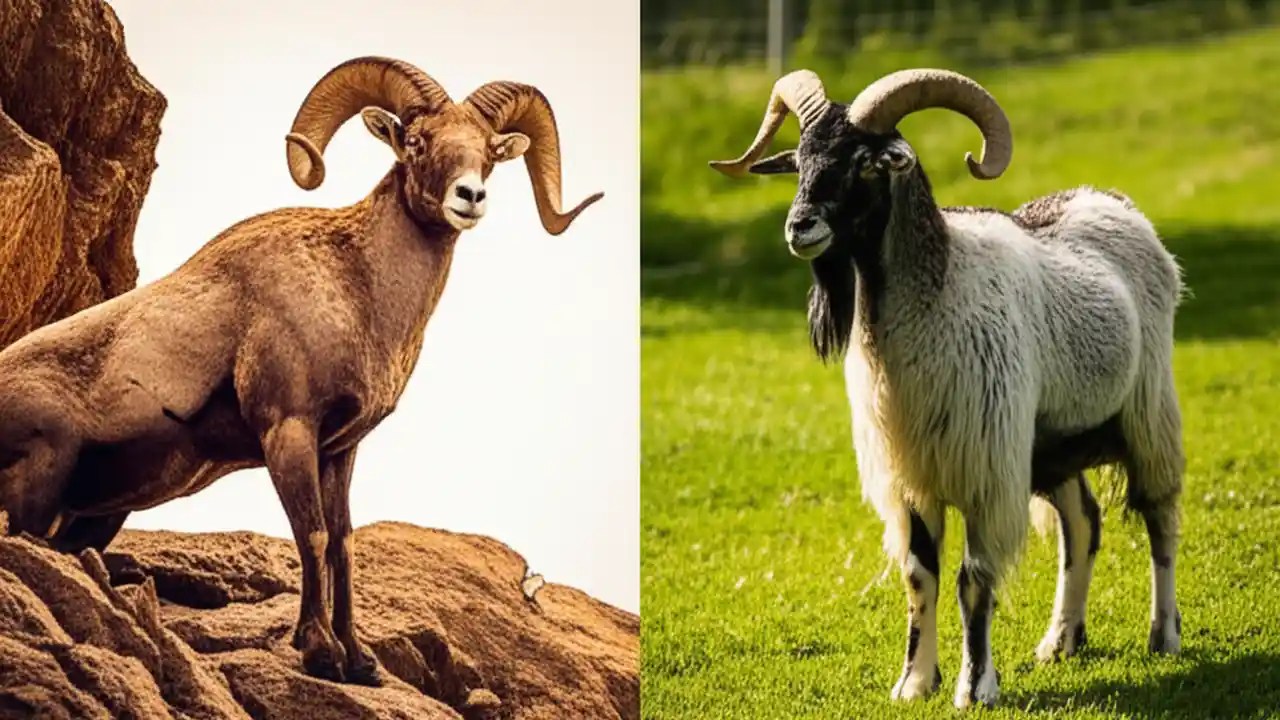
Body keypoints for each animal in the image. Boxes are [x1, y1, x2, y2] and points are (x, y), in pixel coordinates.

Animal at [0, 55, 603, 684]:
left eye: (488, 153)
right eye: (415, 141)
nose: (470, 196)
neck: (358, 289)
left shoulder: (341, 450)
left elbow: (341, 544)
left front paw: (359, 660)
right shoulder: (288, 431)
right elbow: (309, 534)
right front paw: (320, 653)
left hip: (97, 517)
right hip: (39, 481)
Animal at [710, 68, 1184, 709]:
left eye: (866, 162)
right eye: (801, 158)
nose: (799, 227)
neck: (937, 291)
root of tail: (1111, 201)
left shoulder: (985, 472)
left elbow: (973, 580)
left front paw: (975, 686)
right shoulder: (913, 477)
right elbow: (920, 576)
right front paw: (914, 682)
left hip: (1146, 413)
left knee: (1160, 520)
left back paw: (1165, 635)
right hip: (1047, 443)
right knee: (1083, 523)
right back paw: (1059, 642)